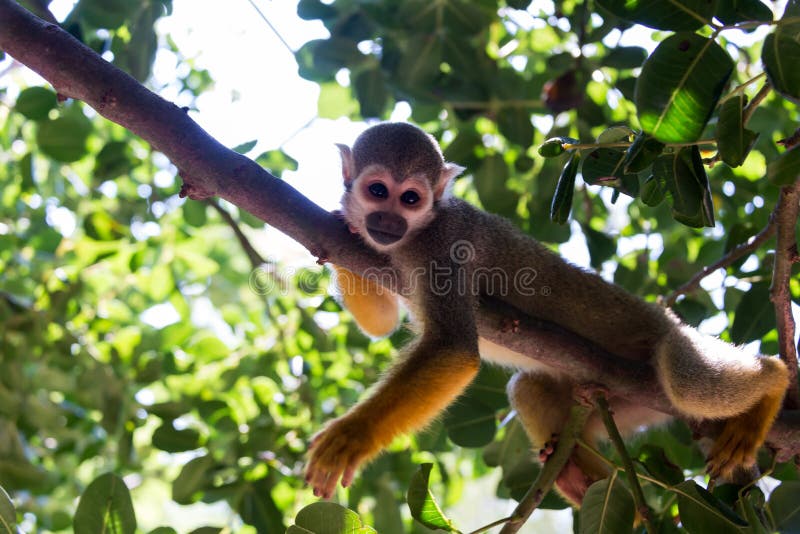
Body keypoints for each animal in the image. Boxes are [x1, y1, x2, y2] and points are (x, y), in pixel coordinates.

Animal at [305, 122, 789, 504]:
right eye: (378, 192)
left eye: (410, 199)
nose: (387, 223)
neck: (411, 238)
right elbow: (381, 324)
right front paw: (342, 228)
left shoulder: (443, 246)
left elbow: (453, 349)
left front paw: (350, 438)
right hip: (616, 403)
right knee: (530, 389)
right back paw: (589, 481)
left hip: (667, 343)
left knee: (688, 381)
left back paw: (772, 380)